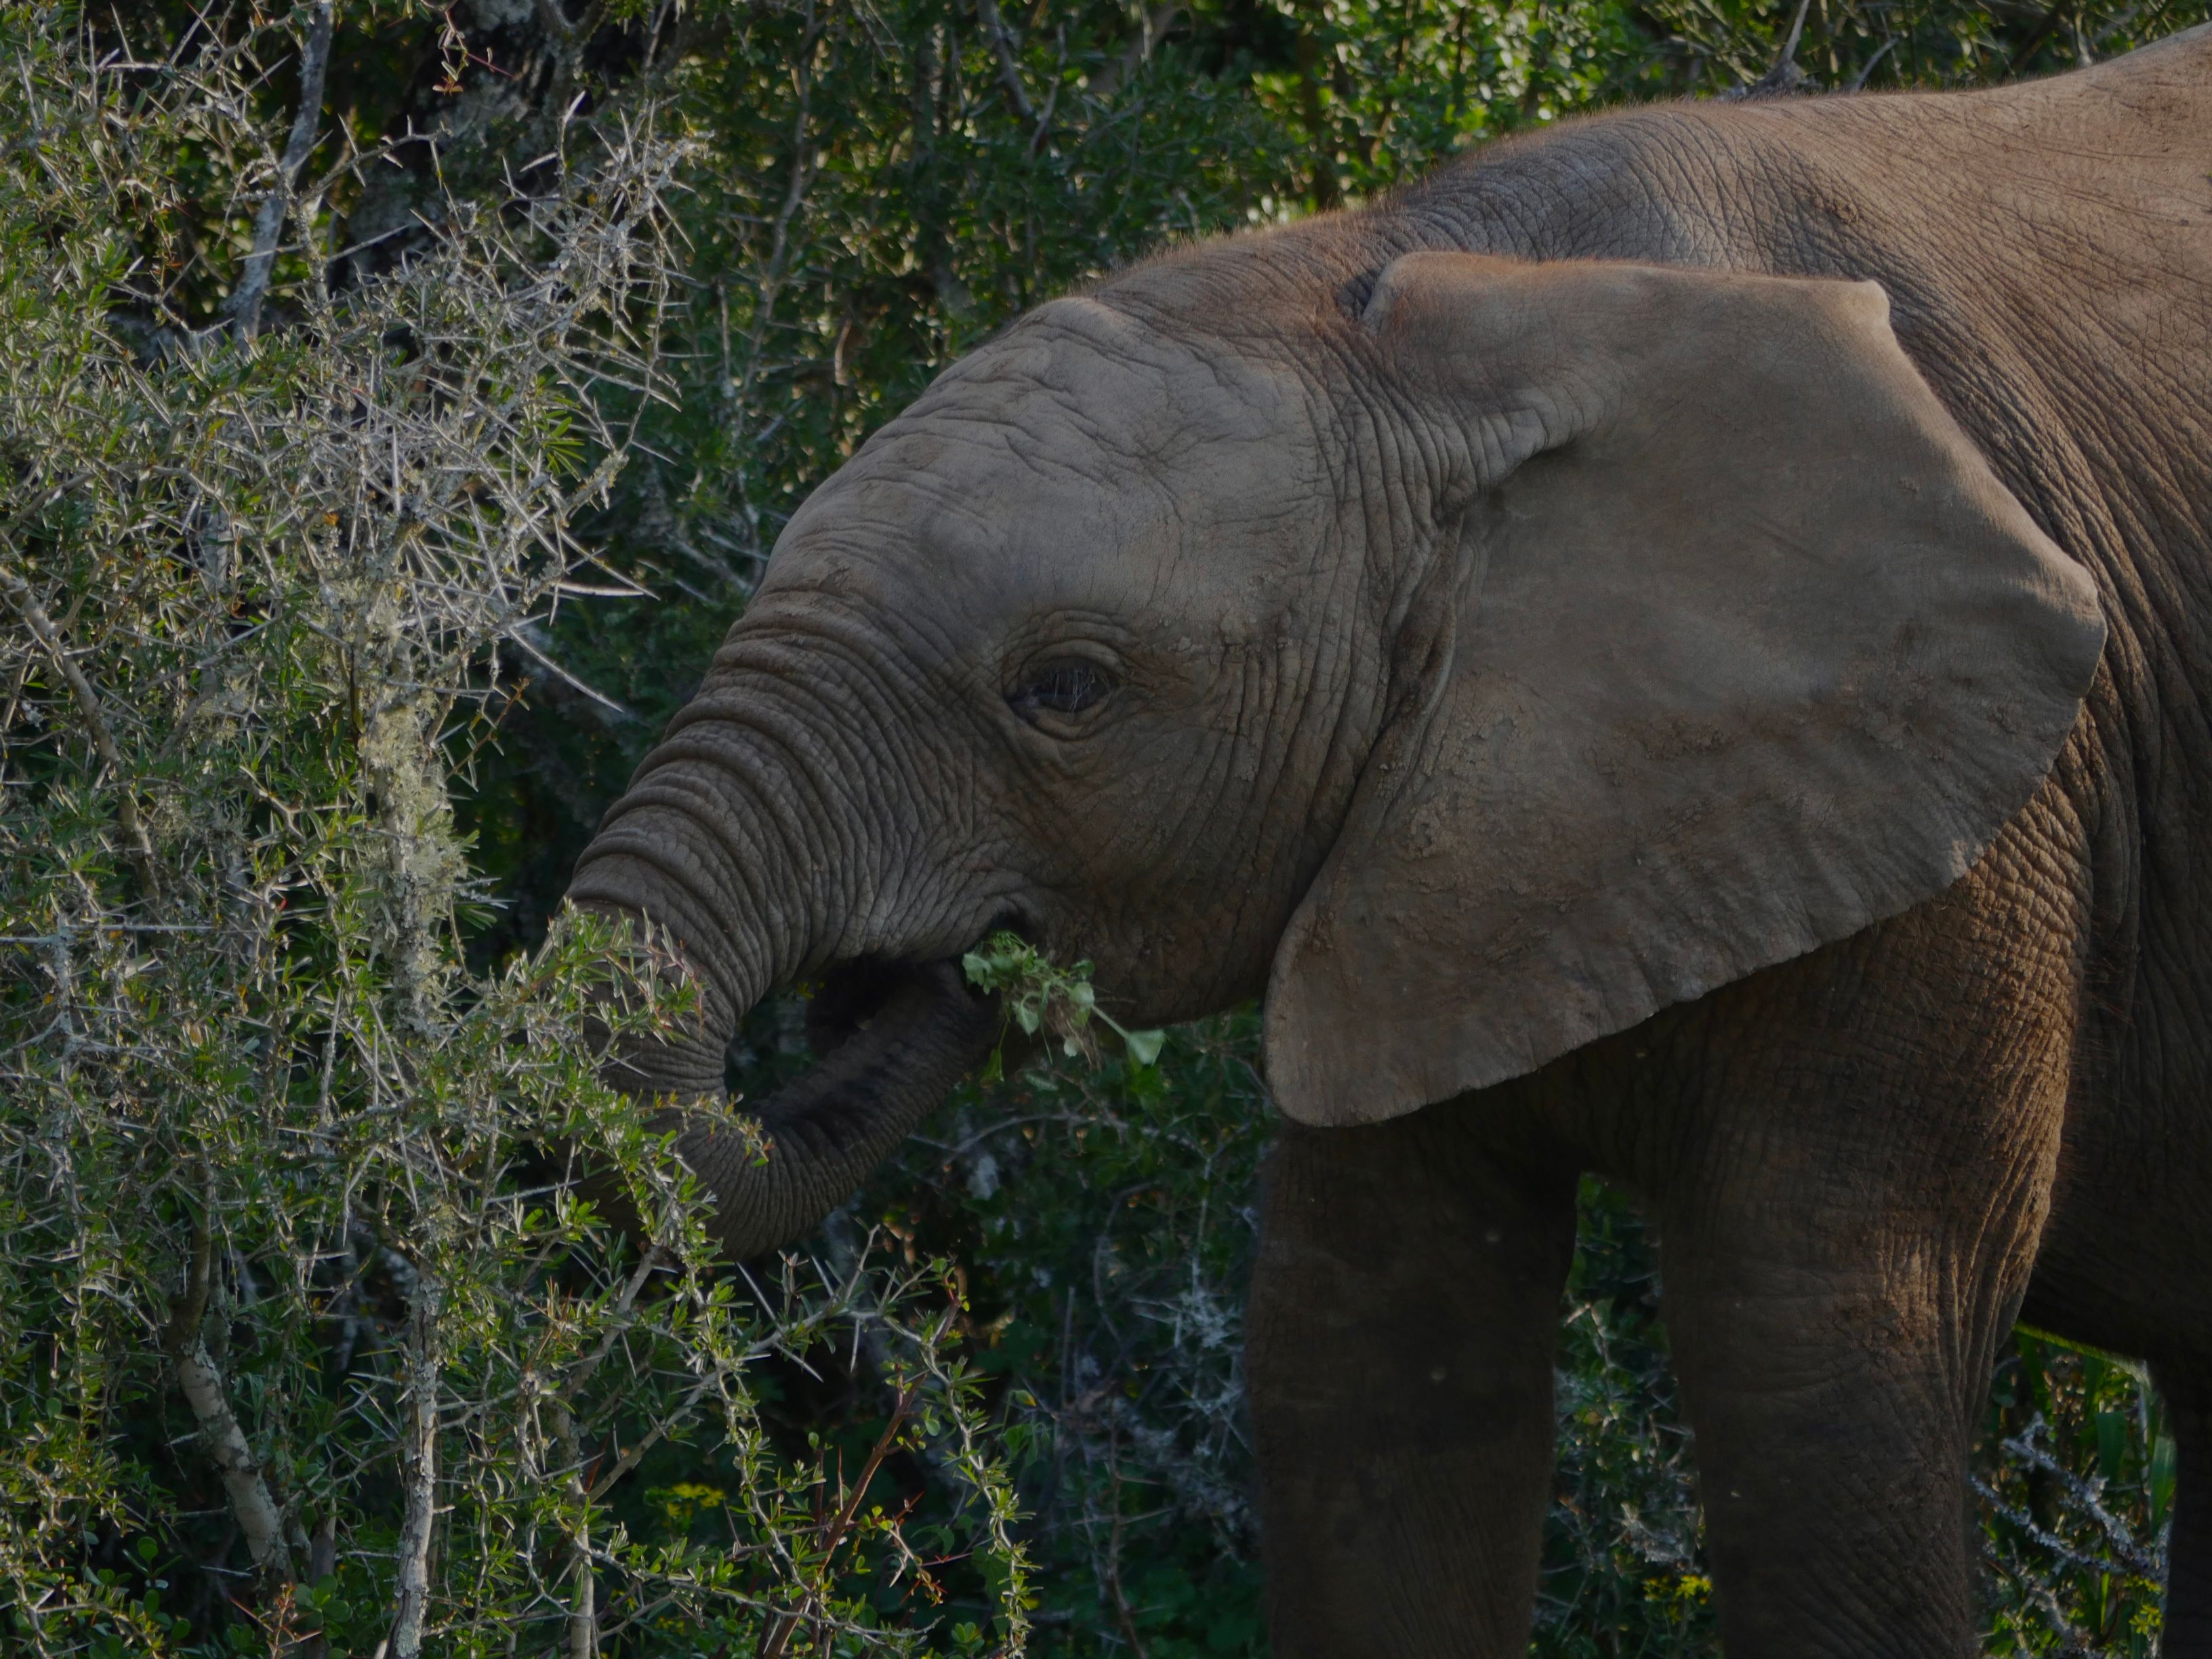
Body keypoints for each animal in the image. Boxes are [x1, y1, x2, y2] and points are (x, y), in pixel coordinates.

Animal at [565, 27, 2212, 1656]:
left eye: (1065, 690)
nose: (916, 988)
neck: (1438, 306)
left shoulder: (1978, 821)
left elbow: (1814, 1395)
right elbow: (1372, 1360)